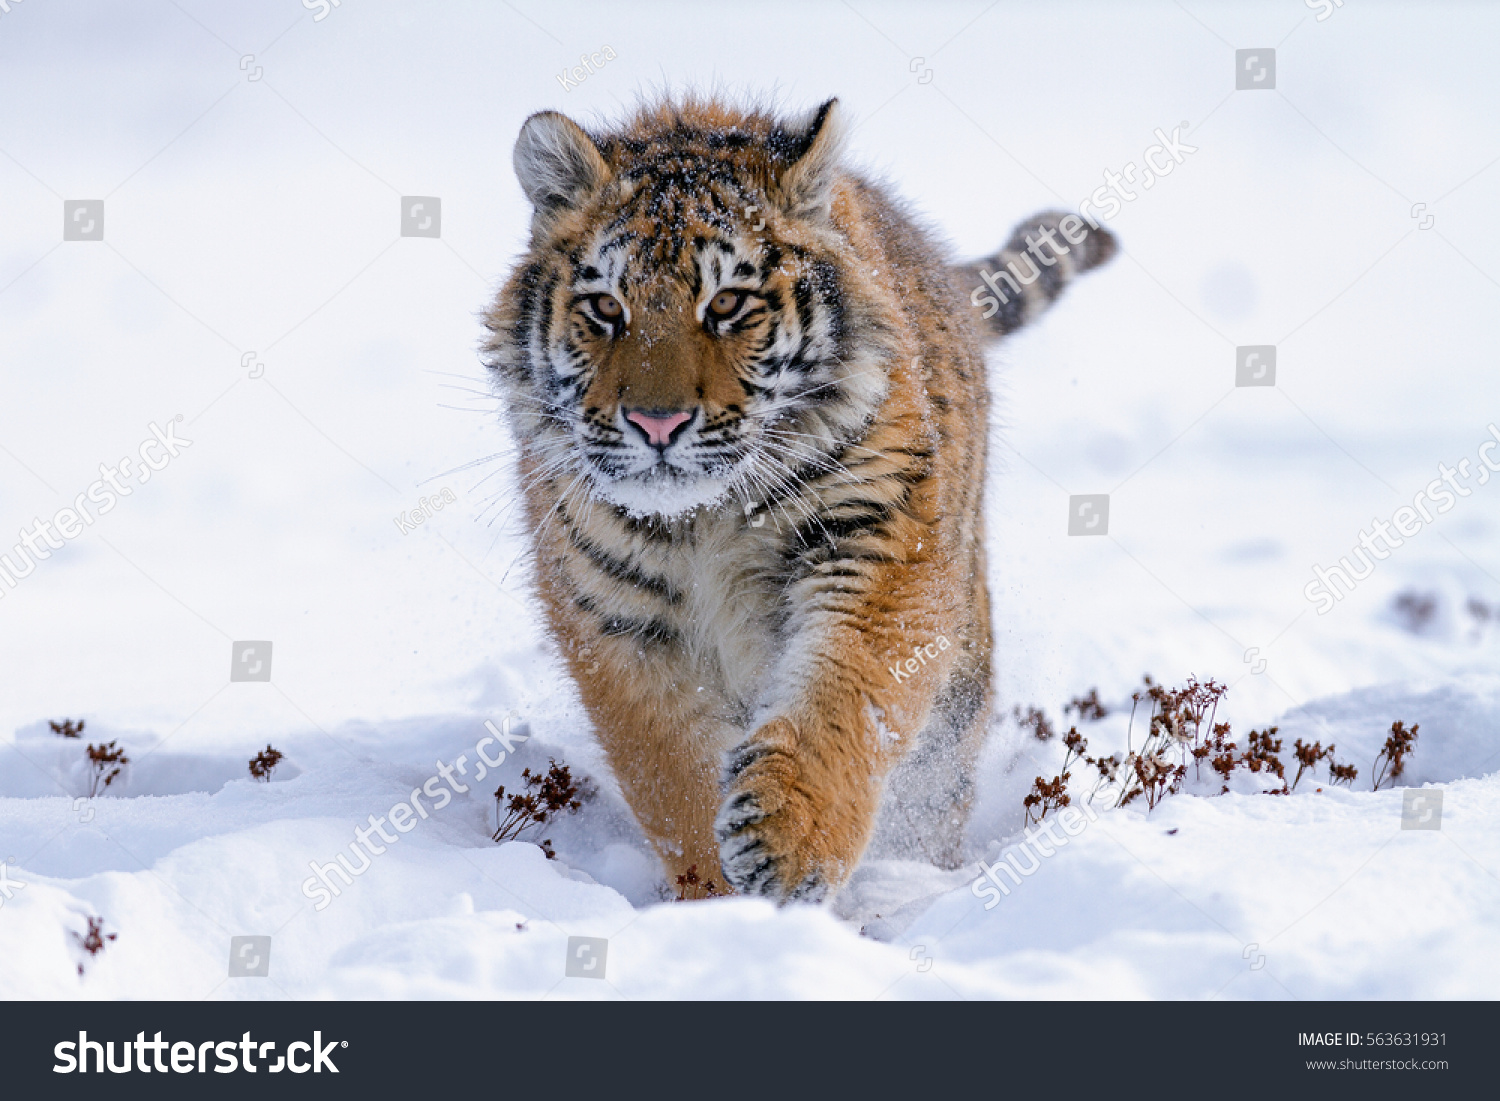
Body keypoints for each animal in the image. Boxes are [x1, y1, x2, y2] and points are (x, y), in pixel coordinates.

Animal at [482, 96, 1116, 903]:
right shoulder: (616, 616)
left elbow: (844, 696)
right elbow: (670, 770)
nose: (656, 424)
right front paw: (717, 901)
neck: (706, 516)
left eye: (727, 303)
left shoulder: (876, 542)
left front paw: (788, 842)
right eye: (604, 307)